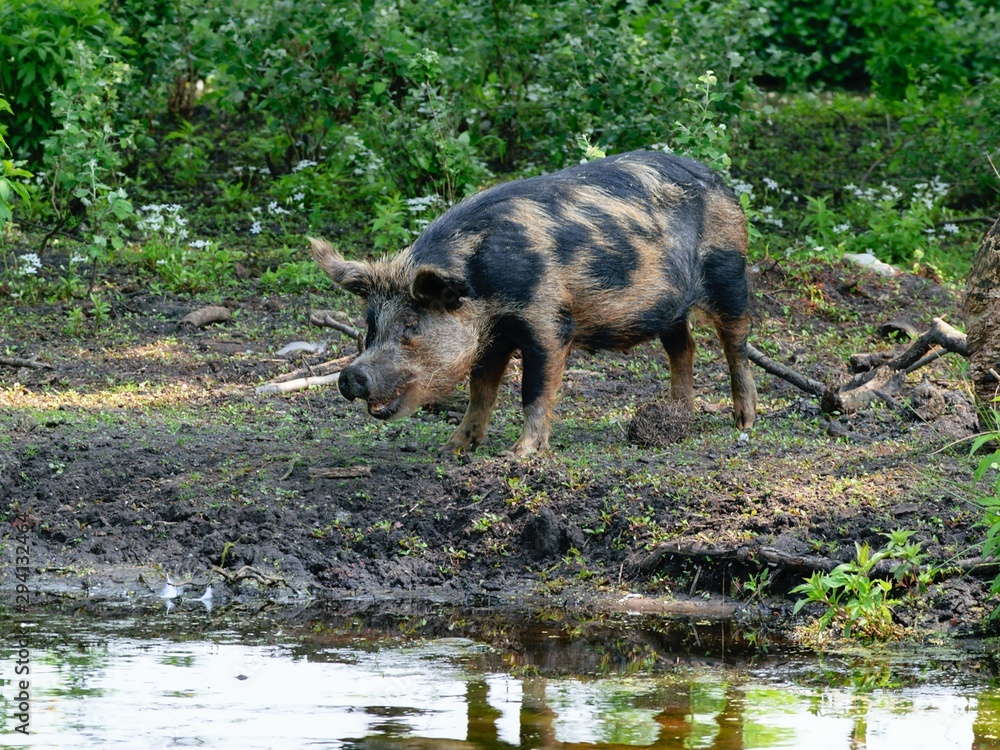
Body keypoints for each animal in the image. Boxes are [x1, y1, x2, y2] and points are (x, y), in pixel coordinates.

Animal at [311, 149, 757, 456]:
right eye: (370, 326)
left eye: (411, 324)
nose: (351, 374)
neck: (482, 286)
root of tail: (720, 180)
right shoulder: (491, 338)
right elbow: (481, 392)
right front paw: (451, 450)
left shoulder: (547, 320)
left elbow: (534, 389)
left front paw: (519, 455)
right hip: (669, 306)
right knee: (684, 347)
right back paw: (679, 415)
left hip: (729, 269)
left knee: (735, 342)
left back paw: (744, 420)